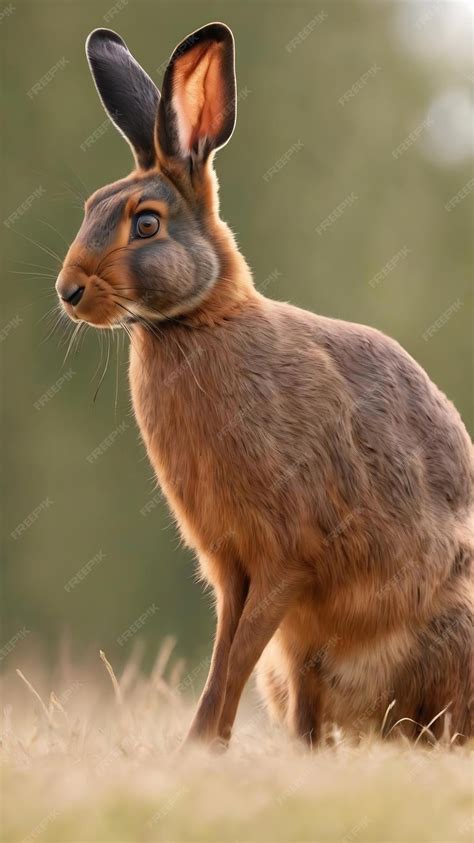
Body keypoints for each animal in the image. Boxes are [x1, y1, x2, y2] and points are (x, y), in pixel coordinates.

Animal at [55, 23, 473, 748]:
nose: (68, 291)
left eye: (146, 223)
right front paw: (202, 745)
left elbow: (238, 653)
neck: (200, 320)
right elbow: (226, 654)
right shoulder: (234, 568)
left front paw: (201, 749)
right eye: (89, 208)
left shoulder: (285, 558)